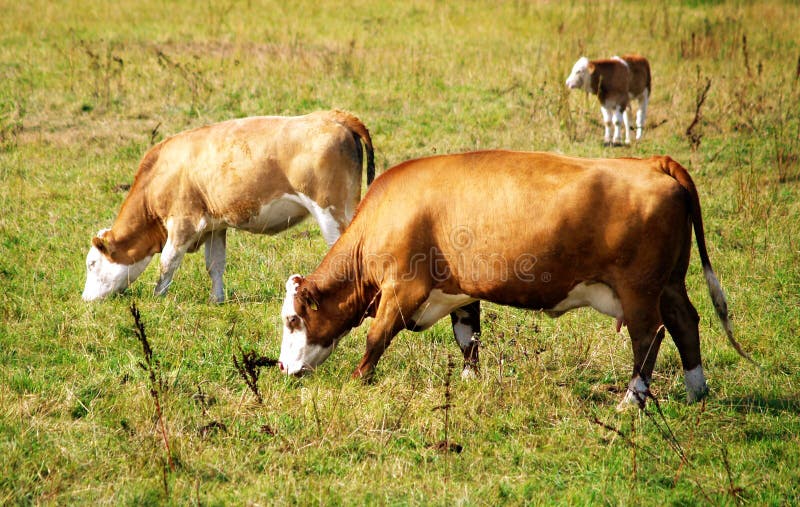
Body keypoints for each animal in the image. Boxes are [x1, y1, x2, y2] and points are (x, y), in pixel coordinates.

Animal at [82, 110, 375, 303]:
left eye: (92, 264)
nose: (85, 299)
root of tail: (334, 116)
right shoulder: (214, 226)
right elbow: (215, 264)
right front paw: (217, 299)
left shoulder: (183, 222)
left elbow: (167, 261)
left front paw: (158, 298)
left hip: (330, 211)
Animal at [276, 150, 754, 408]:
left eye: (293, 320)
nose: (281, 366)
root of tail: (654, 163)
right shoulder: (461, 291)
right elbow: (468, 337)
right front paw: (469, 381)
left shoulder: (402, 289)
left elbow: (377, 337)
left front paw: (359, 379)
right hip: (671, 282)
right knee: (685, 323)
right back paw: (696, 390)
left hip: (640, 291)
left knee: (648, 336)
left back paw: (630, 400)